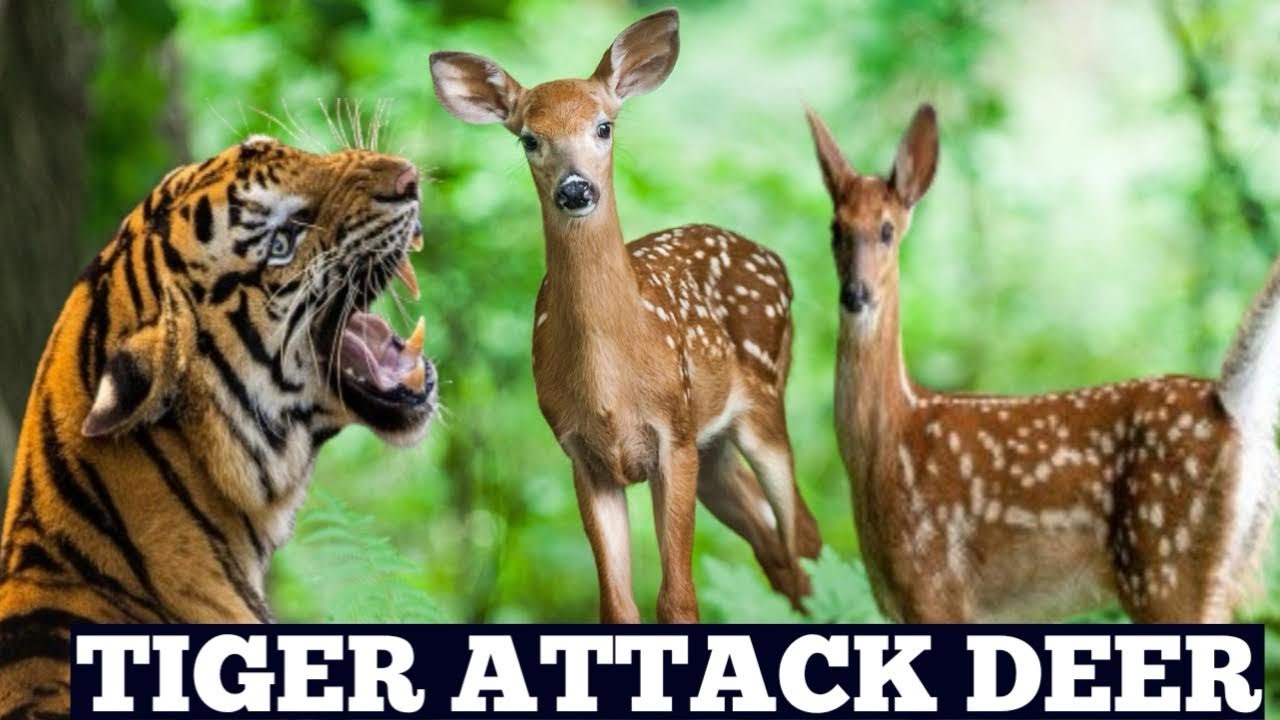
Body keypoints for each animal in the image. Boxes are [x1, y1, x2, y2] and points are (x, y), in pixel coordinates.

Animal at [429, 10, 821, 623]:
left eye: (604, 127)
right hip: (714, 452)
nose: (575, 189)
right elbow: (617, 605)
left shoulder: (673, 436)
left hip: (762, 403)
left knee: (804, 534)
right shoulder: (582, 455)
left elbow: (678, 600)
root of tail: (772, 257)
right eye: (529, 139)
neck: (611, 384)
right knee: (778, 550)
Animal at [807, 102, 1280, 623]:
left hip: (1165, 565)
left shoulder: (936, 588)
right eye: (835, 230)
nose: (856, 295)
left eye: (887, 230)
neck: (891, 442)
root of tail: (1230, 402)